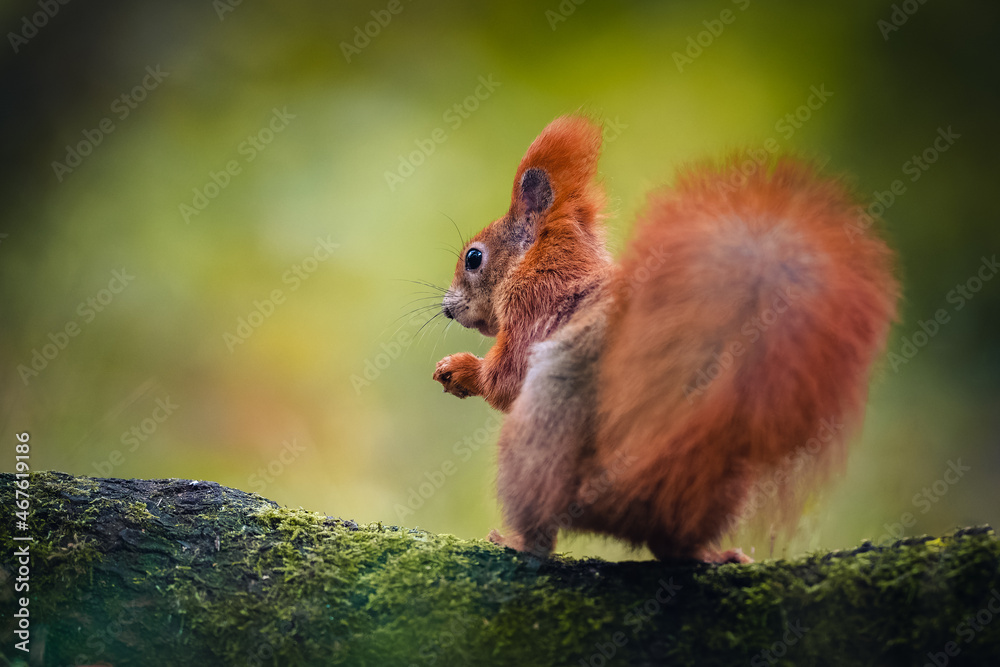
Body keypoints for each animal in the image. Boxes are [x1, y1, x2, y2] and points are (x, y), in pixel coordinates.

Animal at [432, 115, 898, 563]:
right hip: (721, 484)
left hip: (541, 439)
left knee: (542, 521)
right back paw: (712, 554)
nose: (447, 308)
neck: (545, 262)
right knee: (673, 541)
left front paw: (460, 370)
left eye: (473, 258)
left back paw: (519, 541)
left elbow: (506, 379)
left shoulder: (534, 307)